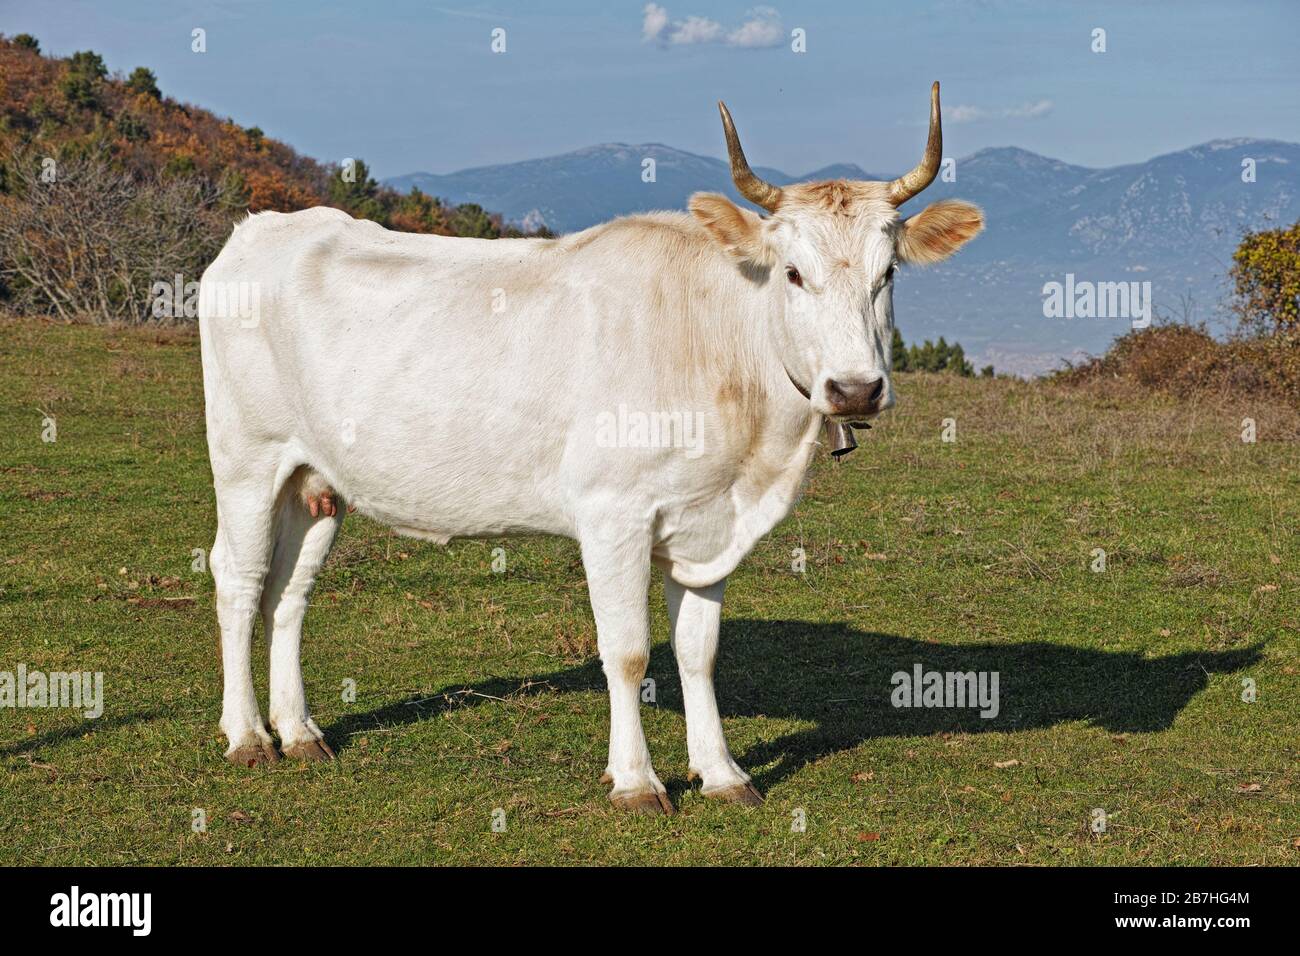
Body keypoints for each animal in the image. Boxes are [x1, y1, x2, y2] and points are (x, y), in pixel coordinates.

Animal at [199, 83, 983, 814]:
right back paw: (247, 737)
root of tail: (265, 229)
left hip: (314, 476)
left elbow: (698, 653)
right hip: (246, 458)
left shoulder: (709, 522)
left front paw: (723, 773)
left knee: (289, 589)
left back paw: (300, 732)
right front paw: (635, 781)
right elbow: (629, 653)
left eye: (888, 273)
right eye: (793, 272)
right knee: (238, 579)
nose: (854, 389)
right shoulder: (613, 514)